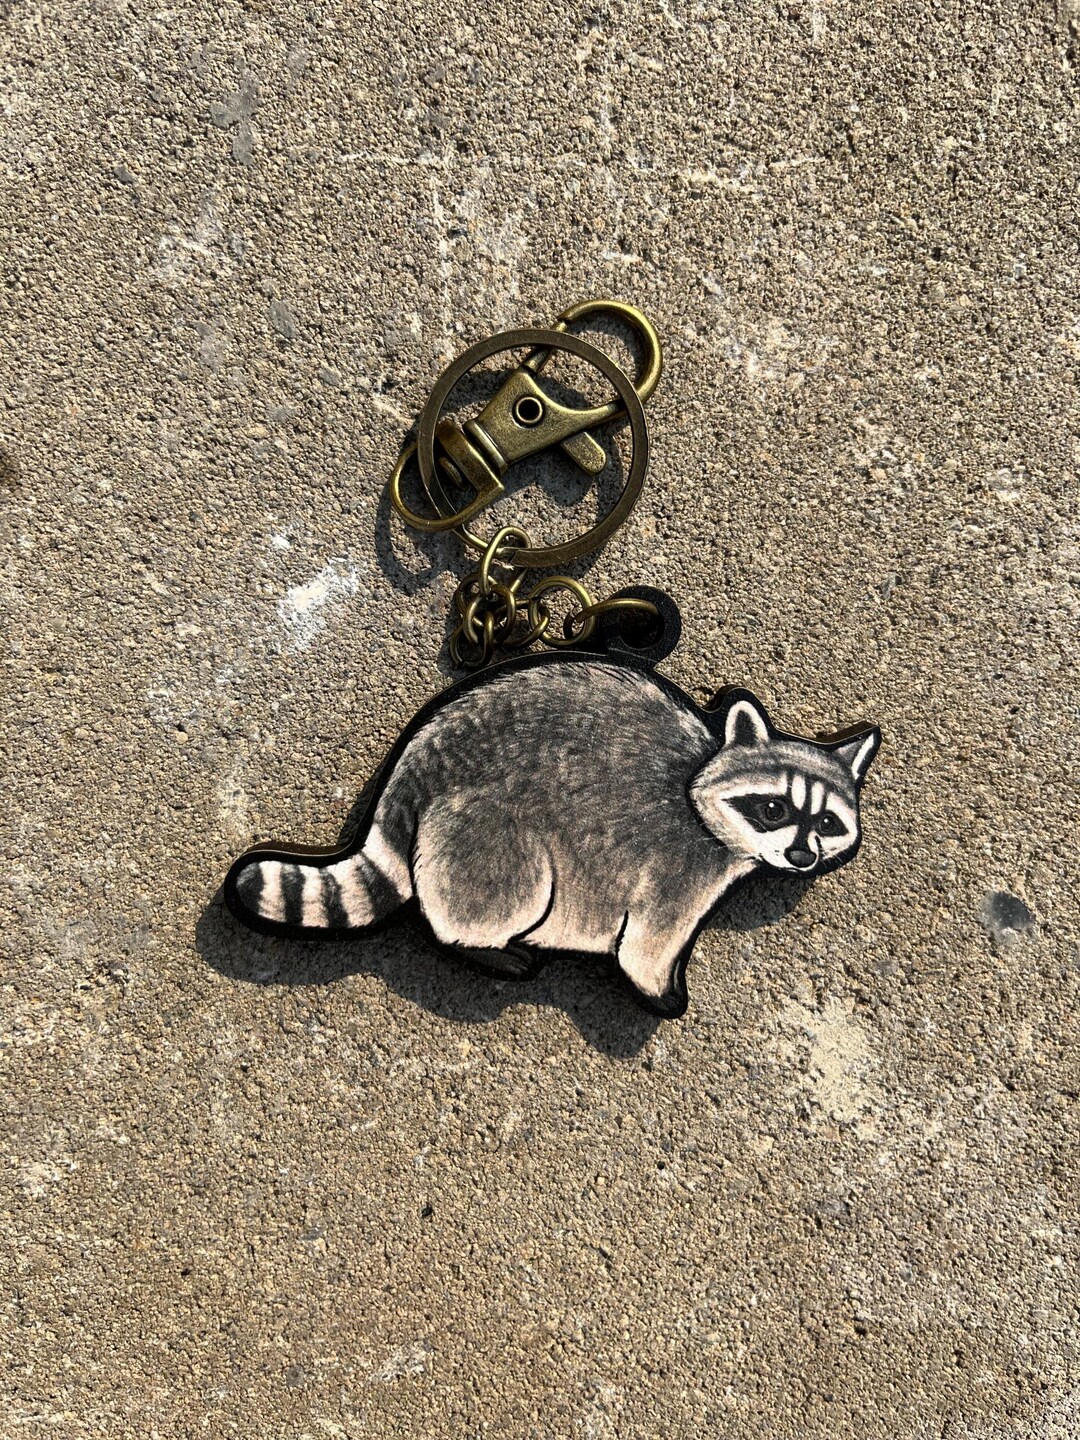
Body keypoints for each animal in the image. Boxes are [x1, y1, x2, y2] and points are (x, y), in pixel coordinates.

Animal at [225, 655, 879, 1016]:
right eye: (773, 807)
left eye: (827, 822)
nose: (801, 856)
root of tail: (413, 766)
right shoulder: (676, 859)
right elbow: (651, 939)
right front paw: (659, 989)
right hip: (487, 825)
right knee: (509, 883)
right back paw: (479, 944)